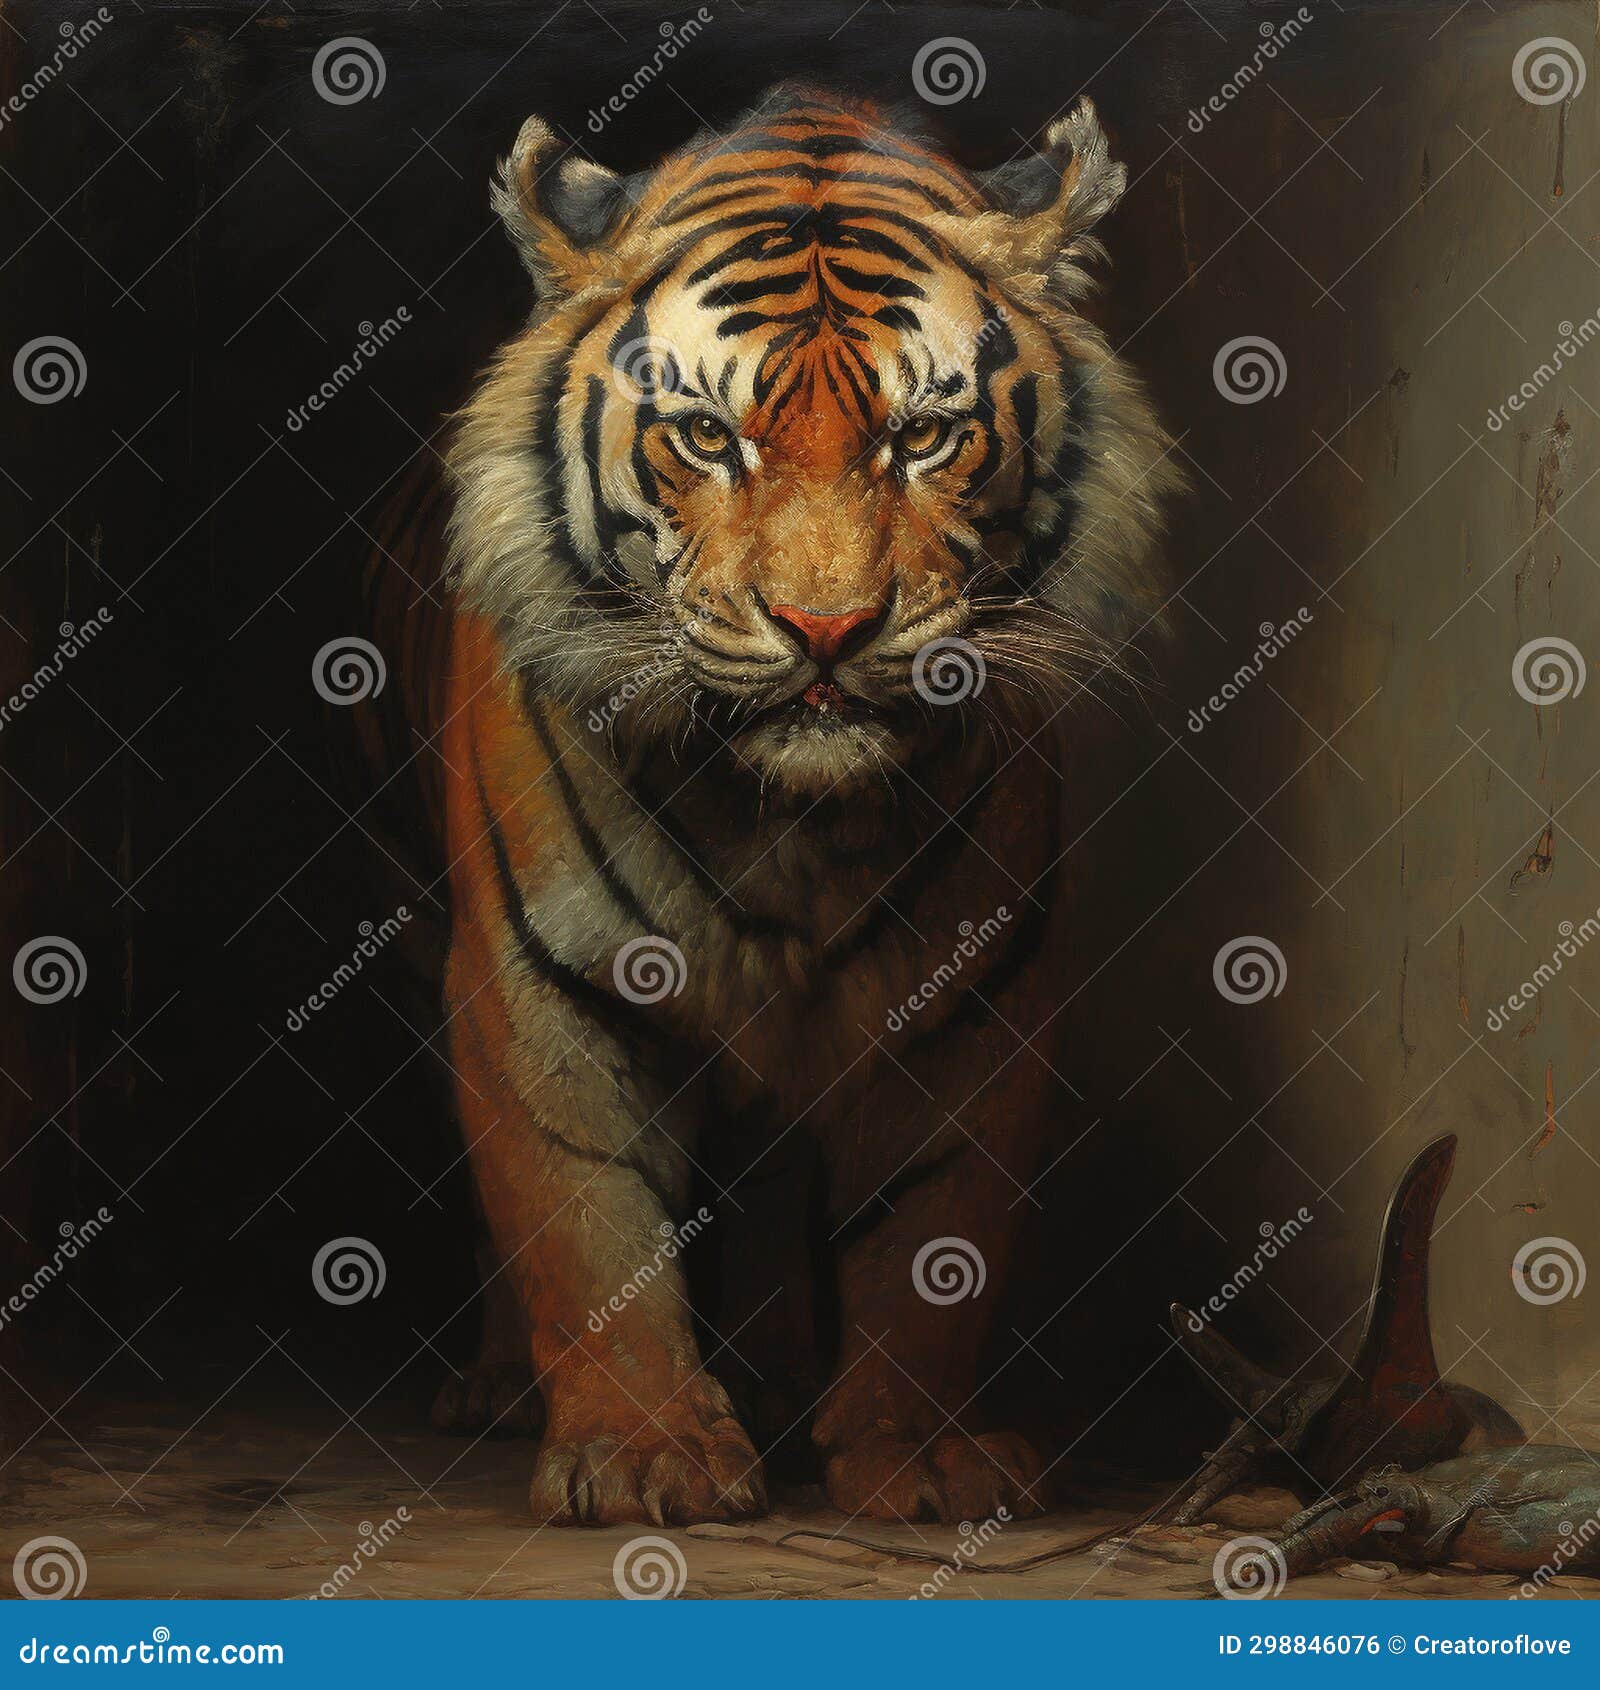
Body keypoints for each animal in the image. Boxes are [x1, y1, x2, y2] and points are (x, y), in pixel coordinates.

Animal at [394, 83, 1183, 1527]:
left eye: (921, 435)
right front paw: (641, 1452)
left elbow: (936, 1235)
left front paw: (915, 1455)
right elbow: (582, 1214)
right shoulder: (539, 976)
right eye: (709, 435)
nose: (825, 627)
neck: (788, 821)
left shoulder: (976, 990)